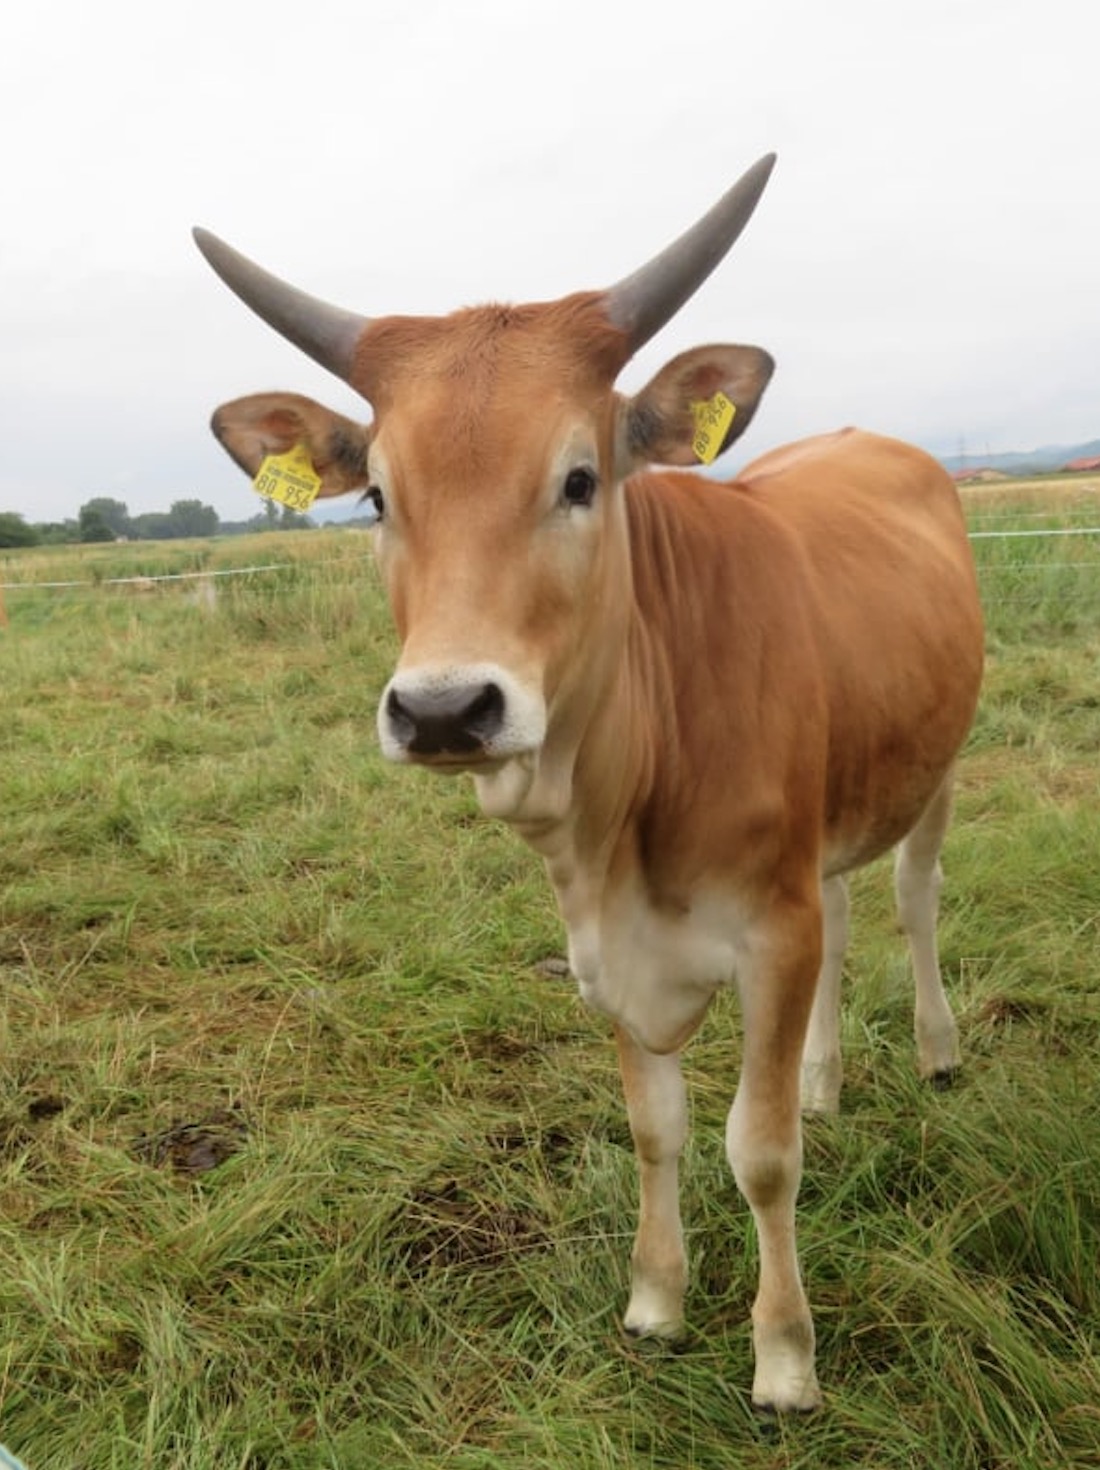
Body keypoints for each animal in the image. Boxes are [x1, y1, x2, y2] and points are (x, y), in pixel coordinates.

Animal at [193, 154, 984, 1412]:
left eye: (577, 478)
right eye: (376, 497)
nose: (442, 710)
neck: (624, 812)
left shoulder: (769, 933)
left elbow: (758, 1150)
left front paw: (782, 1357)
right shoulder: (616, 950)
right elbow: (655, 1125)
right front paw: (656, 1300)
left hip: (938, 769)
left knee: (911, 901)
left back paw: (935, 1049)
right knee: (848, 914)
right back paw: (822, 1077)